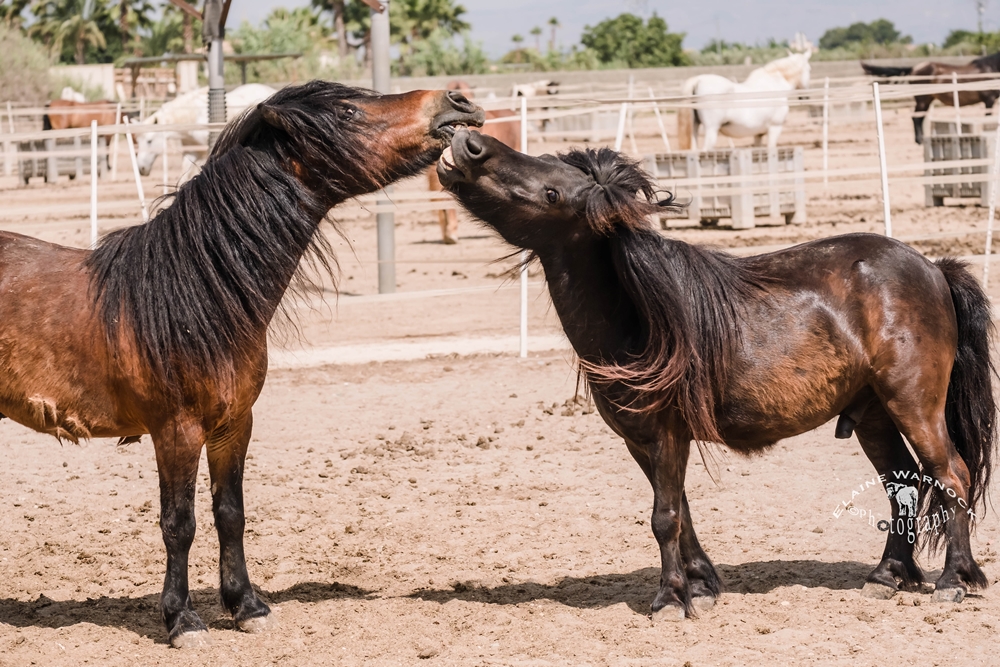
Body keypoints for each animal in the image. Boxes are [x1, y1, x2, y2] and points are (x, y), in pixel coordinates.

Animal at [438, 130, 996, 620]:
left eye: (552, 192)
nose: (469, 143)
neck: (641, 320)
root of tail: (933, 268)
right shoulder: (641, 442)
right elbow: (680, 513)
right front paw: (702, 587)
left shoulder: (665, 435)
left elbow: (664, 518)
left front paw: (669, 599)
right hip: (874, 415)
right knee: (904, 484)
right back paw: (888, 576)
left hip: (913, 404)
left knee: (952, 475)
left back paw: (953, 582)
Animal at [678, 50, 812, 150]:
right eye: (809, 69)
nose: (805, 97)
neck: (775, 86)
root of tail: (698, 80)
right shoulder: (775, 129)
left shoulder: (758, 134)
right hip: (711, 130)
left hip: (694, 129)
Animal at [862, 53, 1000, 144]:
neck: (992, 68)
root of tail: (914, 68)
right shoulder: (989, 100)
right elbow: (988, 118)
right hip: (922, 100)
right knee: (916, 118)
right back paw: (920, 140)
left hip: (927, 101)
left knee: (919, 118)